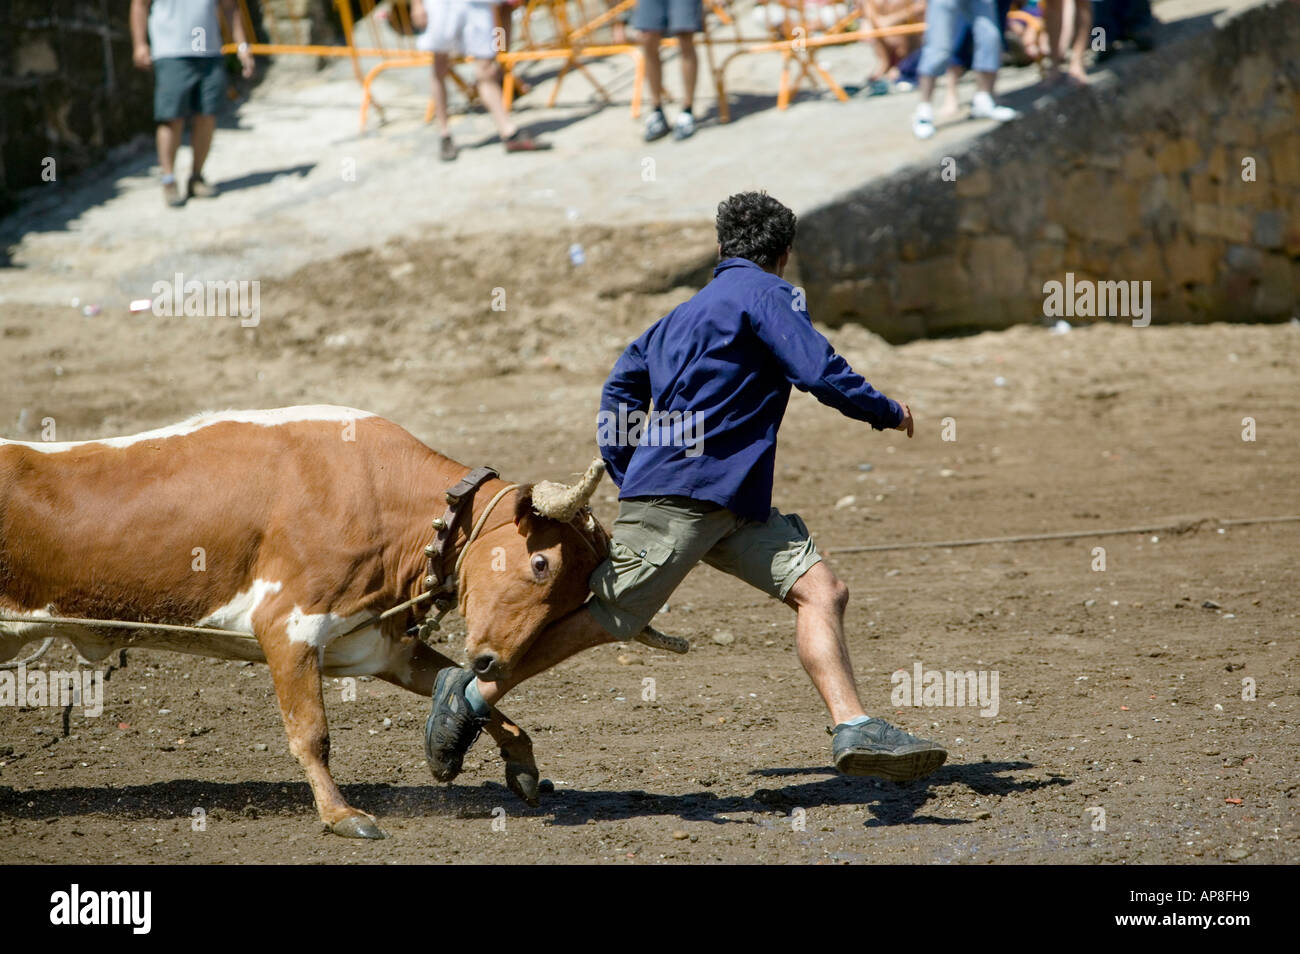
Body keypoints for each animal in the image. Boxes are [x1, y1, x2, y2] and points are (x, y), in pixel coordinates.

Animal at [0, 406, 611, 838]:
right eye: (540, 563)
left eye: (578, 595)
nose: (492, 662)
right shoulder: (288, 627)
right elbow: (311, 734)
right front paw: (341, 815)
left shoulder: (380, 644)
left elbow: (472, 698)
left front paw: (519, 761)